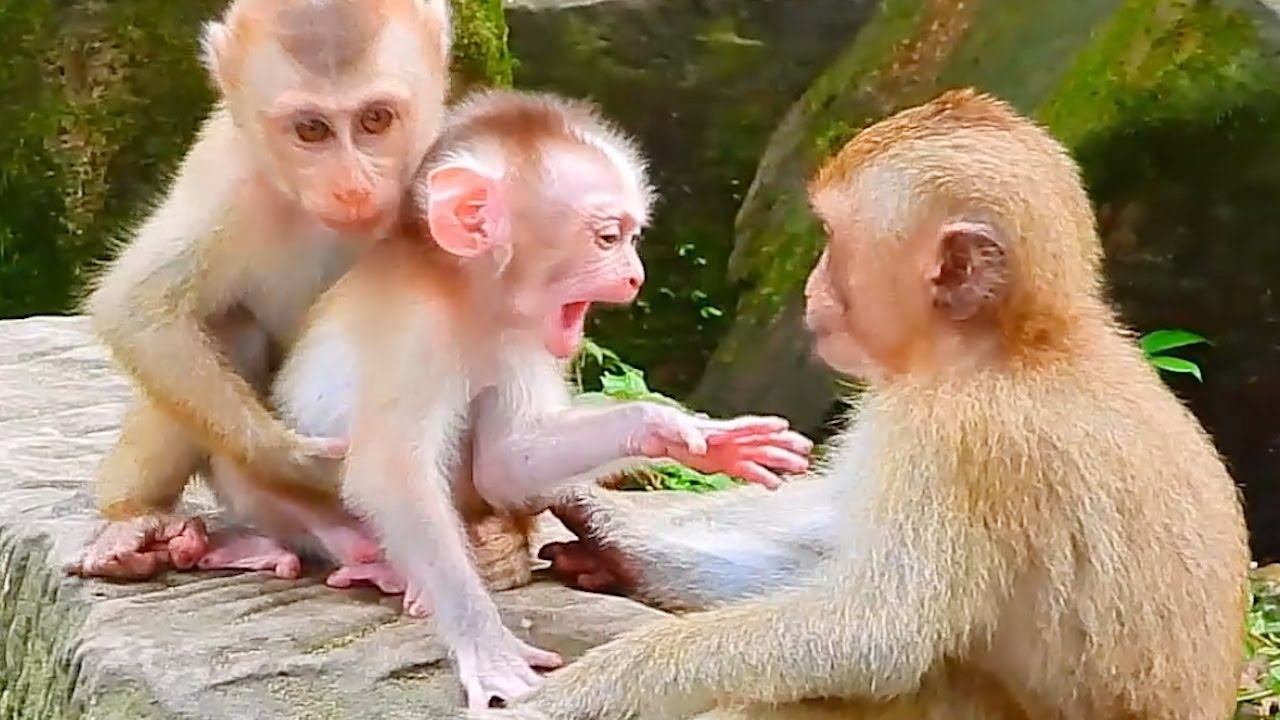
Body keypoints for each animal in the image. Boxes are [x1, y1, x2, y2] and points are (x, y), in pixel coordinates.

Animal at [65, 0, 453, 581]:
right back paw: (139, 520)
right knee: (225, 326)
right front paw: (295, 460)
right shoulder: (226, 178)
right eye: (311, 129)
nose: (351, 187)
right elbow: (135, 308)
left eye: (376, 119)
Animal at [184, 88, 814, 709]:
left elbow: (504, 462)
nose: (635, 275)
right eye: (609, 237)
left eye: (631, 237)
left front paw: (679, 432)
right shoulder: (415, 330)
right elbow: (391, 476)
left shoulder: (524, 339)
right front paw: (484, 646)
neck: (469, 295)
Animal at [467, 88, 1251, 720]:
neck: (1007, 346)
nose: (809, 287)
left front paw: (580, 692)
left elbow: (874, 634)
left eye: (833, 241)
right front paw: (608, 531)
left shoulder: (960, 437)